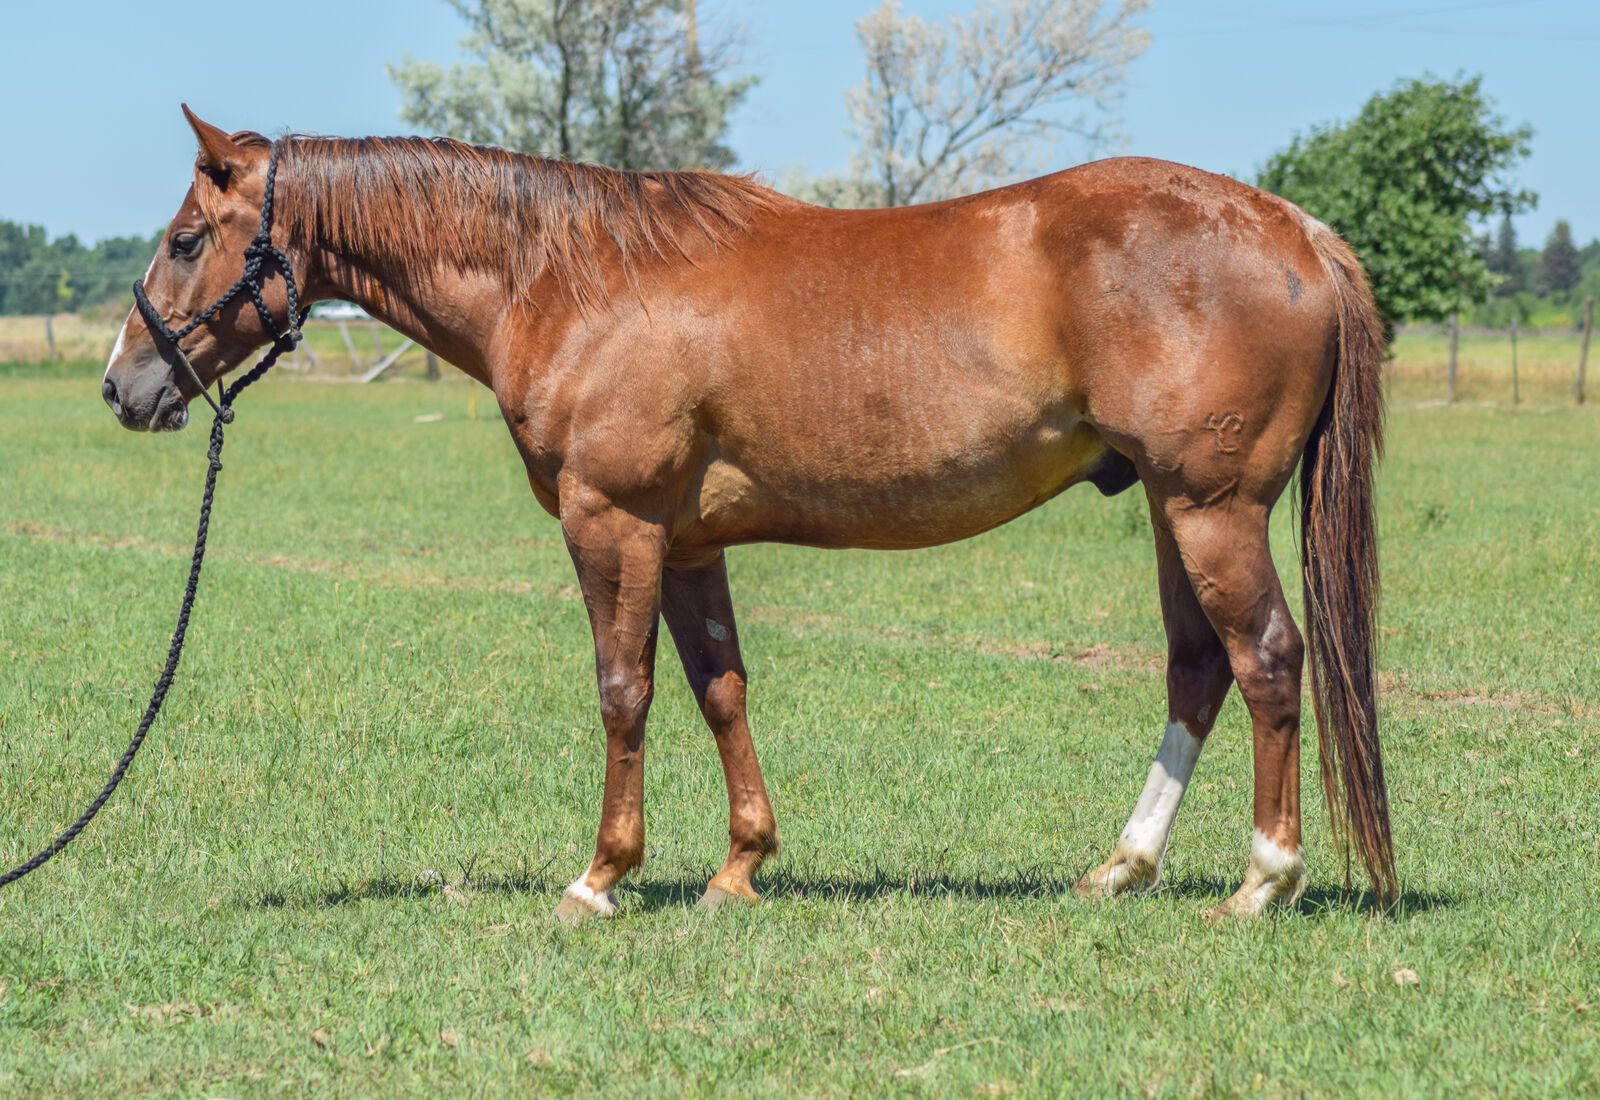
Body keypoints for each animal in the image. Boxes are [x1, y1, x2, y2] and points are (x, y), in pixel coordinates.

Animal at [101, 107, 1395, 921]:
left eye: (184, 238)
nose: (125, 383)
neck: (570, 278)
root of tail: (1293, 228)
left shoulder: (612, 523)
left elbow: (623, 690)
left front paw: (601, 875)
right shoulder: (687, 542)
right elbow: (718, 685)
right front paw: (740, 865)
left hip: (1211, 508)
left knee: (1266, 658)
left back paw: (1261, 878)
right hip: (1176, 512)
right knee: (1198, 669)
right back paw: (1120, 867)